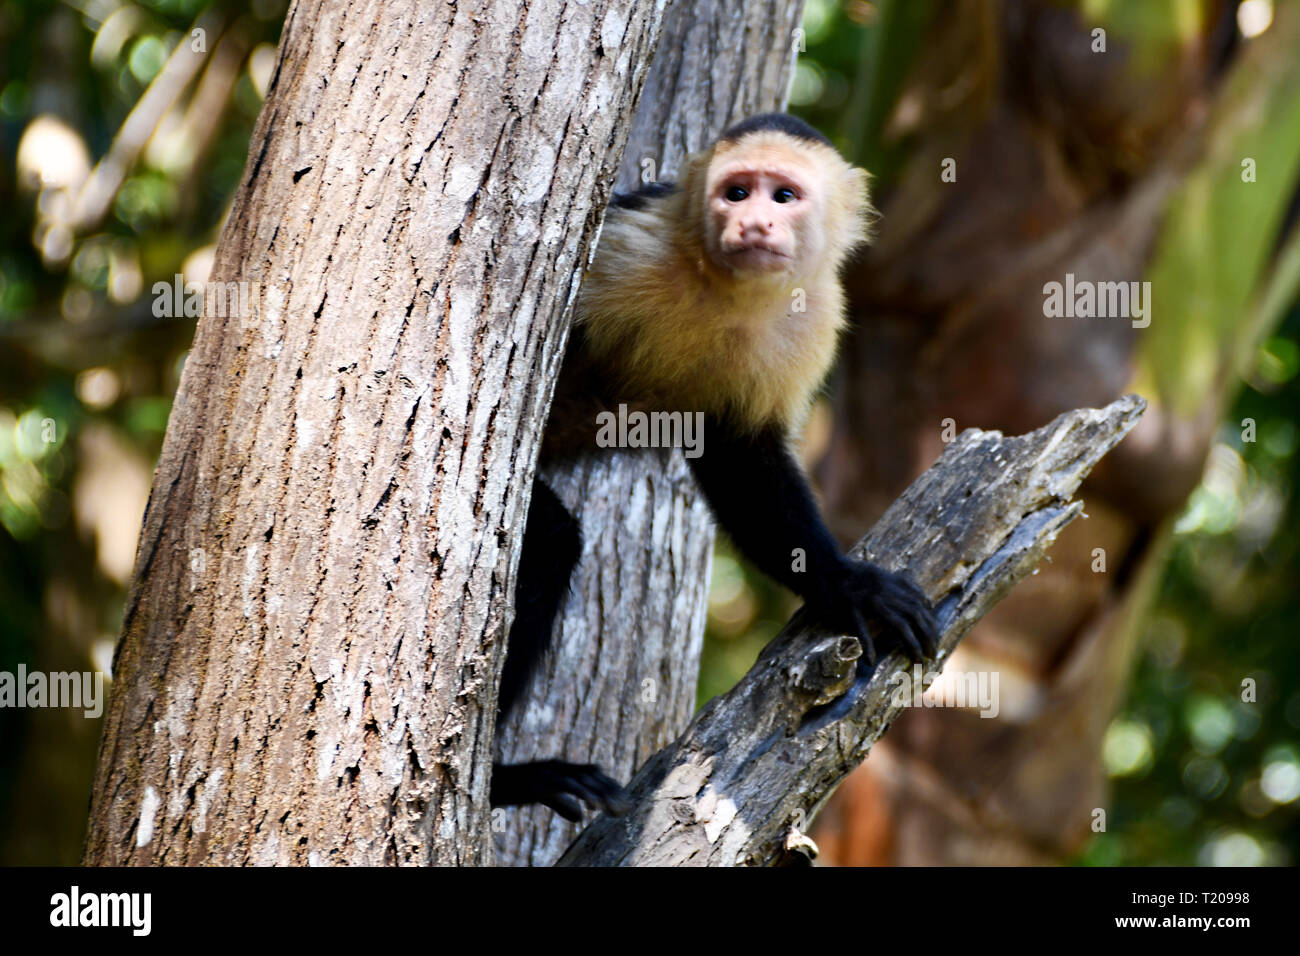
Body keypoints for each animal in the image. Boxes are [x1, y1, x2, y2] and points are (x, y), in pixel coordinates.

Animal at [489, 113, 938, 822]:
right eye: (736, 192)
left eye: (784, 195)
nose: (753, 221)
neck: (729, 292)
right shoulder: (631, 248)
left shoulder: (814, 317)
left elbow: (742, 459)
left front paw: (843, 585)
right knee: (550, 541)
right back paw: (505, 782)